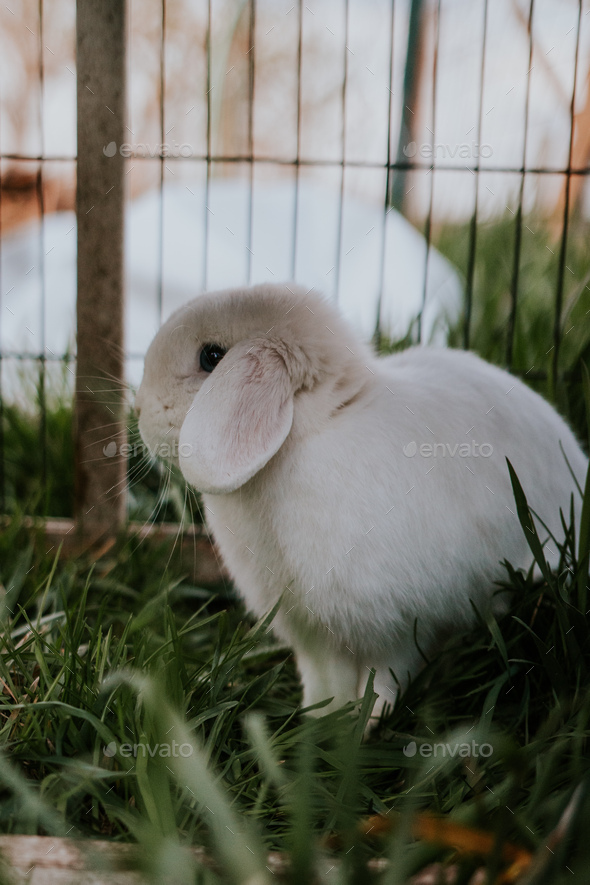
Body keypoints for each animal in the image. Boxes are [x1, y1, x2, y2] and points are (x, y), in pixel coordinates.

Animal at [135, 282, 588, 722]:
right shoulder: (312, 632)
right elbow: (323, 678)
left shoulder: (402, 625)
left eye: (211, 357)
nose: (138, 410)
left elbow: (388, 674)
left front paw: (367, 721)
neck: (310, 434)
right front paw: (319, 720)